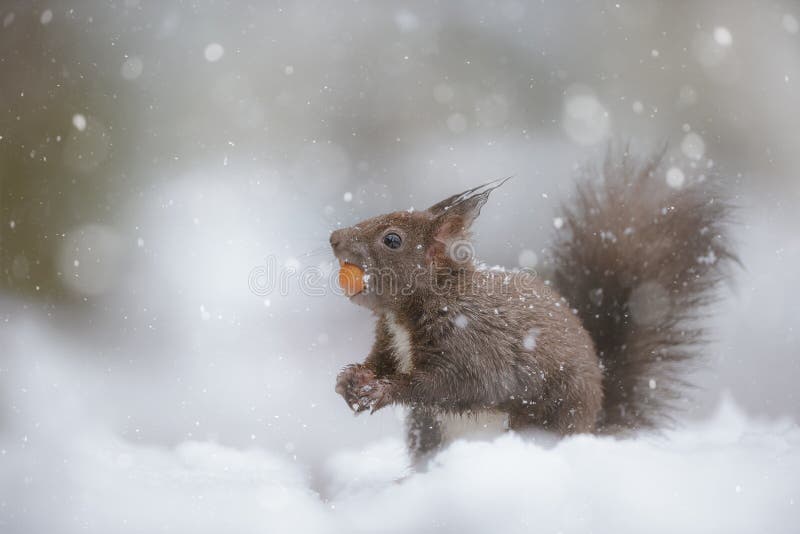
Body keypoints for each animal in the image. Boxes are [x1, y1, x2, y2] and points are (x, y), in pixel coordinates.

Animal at [330, 150, 735, 464]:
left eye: (392, 240)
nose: (334, 238)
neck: (405, 315)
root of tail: (592, 426)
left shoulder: (474, 343)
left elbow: (454, 384)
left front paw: (384, 389)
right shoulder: (389, 340)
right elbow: (380, 361)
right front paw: (352, 379)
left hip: (546, 416)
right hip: (427, 429)